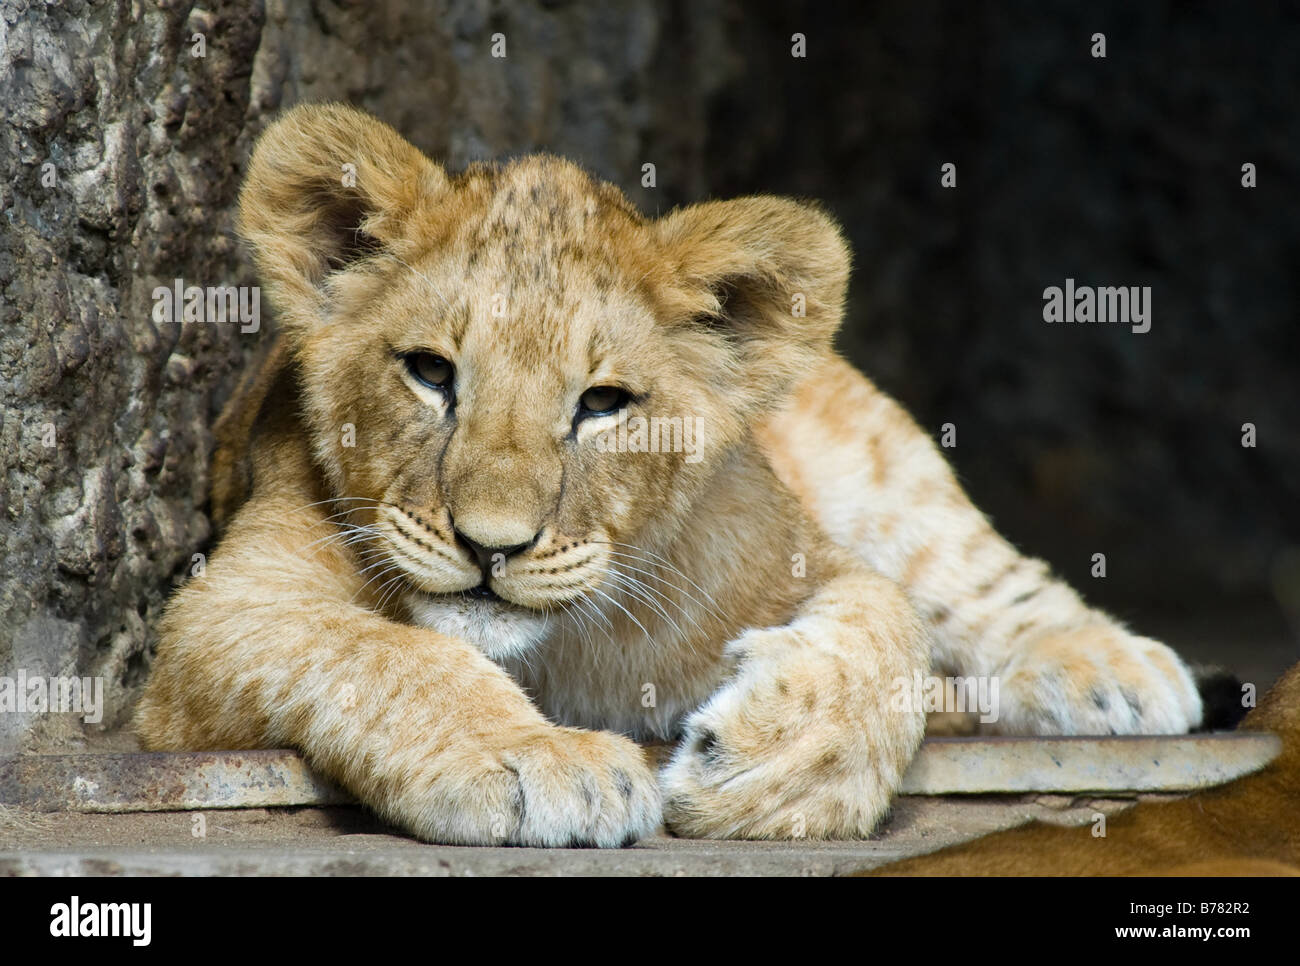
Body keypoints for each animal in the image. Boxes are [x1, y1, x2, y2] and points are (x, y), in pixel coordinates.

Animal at [134, 103, 1205, 847]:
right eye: (431, 373)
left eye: (602, 402)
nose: (490, 546)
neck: (554, 653)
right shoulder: (219, 614)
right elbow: (387, 654)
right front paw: (545, 759)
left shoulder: (795, 556)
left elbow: (889, 625)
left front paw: (778, 775)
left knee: (976, 578)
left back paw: (1114, 672)